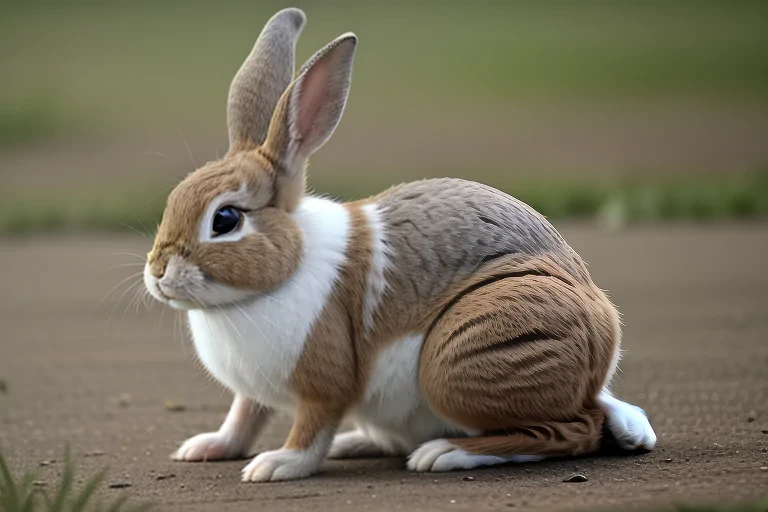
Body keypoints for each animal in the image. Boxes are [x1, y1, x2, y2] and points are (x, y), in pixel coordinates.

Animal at [143, 7, 656, 483]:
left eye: (225, 219)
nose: (158, 273)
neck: (285, 269)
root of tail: (603, 340)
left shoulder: (326, 381)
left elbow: (310, 430)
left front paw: (276, 465)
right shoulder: (252, 393)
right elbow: (243, 418)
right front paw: (206, 447)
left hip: (462, 359)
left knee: (572, 430)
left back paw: (445, 454)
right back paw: (358, 443)